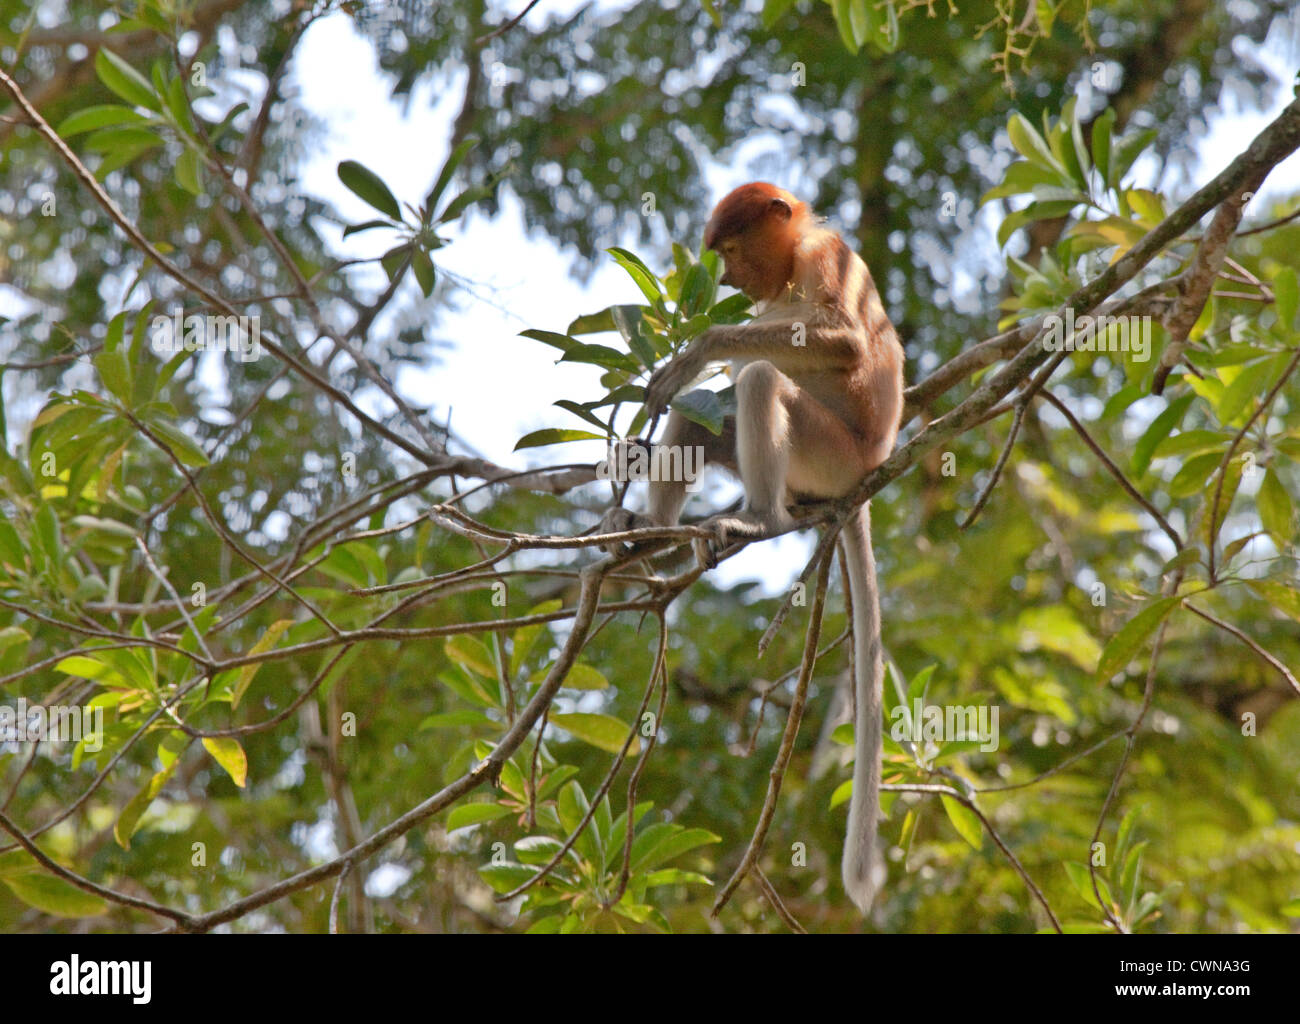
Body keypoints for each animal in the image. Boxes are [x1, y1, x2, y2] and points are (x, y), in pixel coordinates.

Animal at [611, 182, 905, 913]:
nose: (728, 283)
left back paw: (759, 518)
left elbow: (841, 338)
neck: (794, 255)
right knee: (703, 413)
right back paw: (654, 536)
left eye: (734, 250)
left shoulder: (829, 257)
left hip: (829, 454)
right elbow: (698, 400)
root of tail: (868, 467)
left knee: (762, 381)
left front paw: (698, 347)